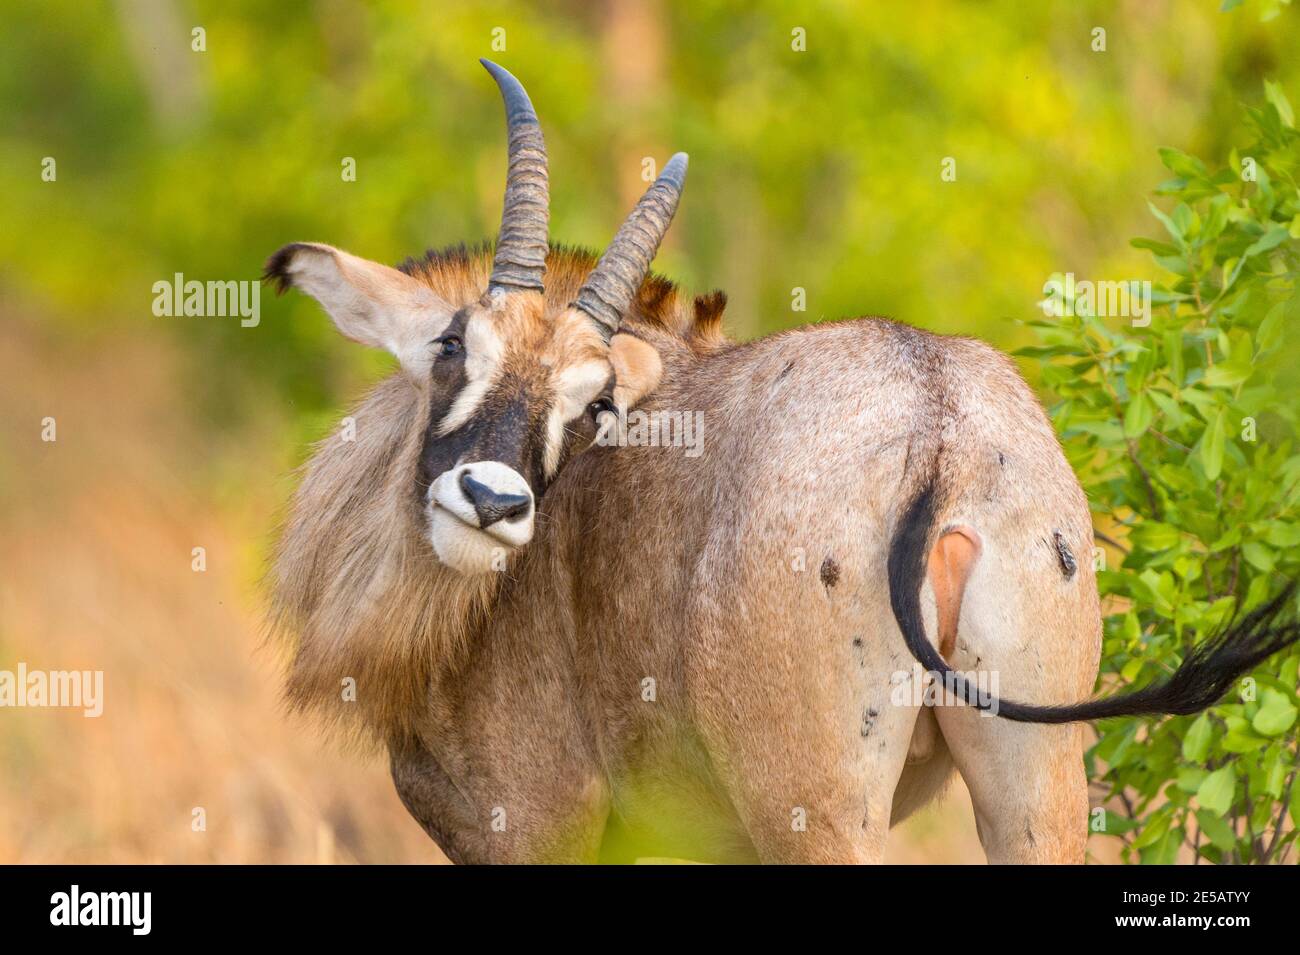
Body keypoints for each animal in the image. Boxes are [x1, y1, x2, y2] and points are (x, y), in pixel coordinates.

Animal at [266, 61, 1299, 863]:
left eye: (595, 403)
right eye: (453, 343)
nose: (490, 500)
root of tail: (942, 426)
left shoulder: (528, 819)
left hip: (816, 806)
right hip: (1037, 785)